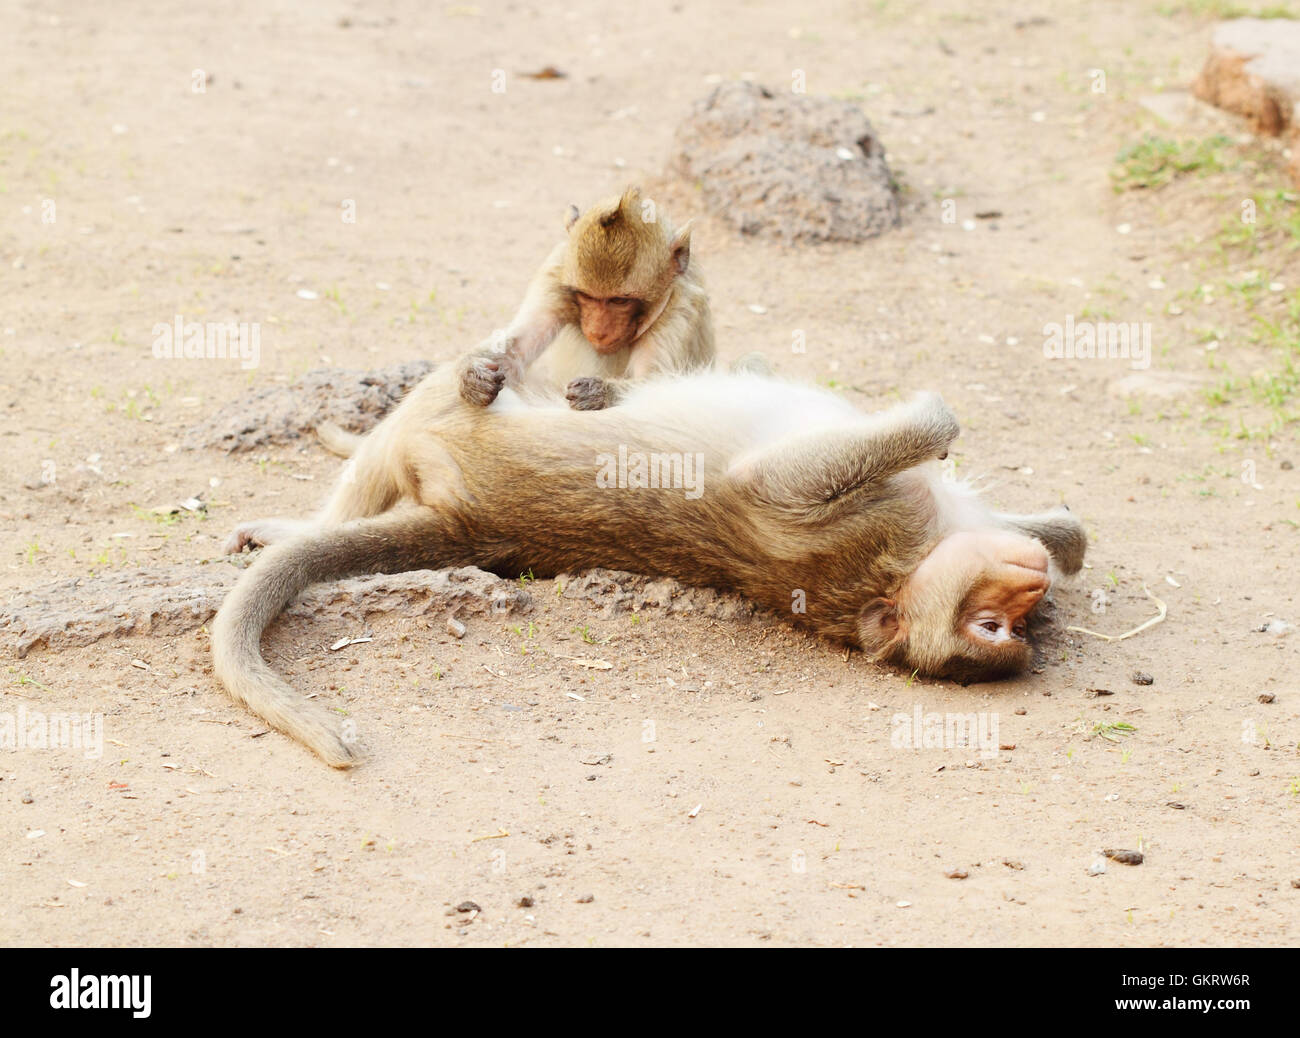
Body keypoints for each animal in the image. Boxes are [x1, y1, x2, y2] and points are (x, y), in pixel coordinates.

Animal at [213, 360, 1087, 767]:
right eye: (994, 622)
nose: (1032, 589)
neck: (903, 570)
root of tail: (470, 525)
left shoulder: (858, 537)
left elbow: (771, 486)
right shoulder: (884, 531)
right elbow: (1065, 528)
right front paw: (1062, 539)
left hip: (444, 432)